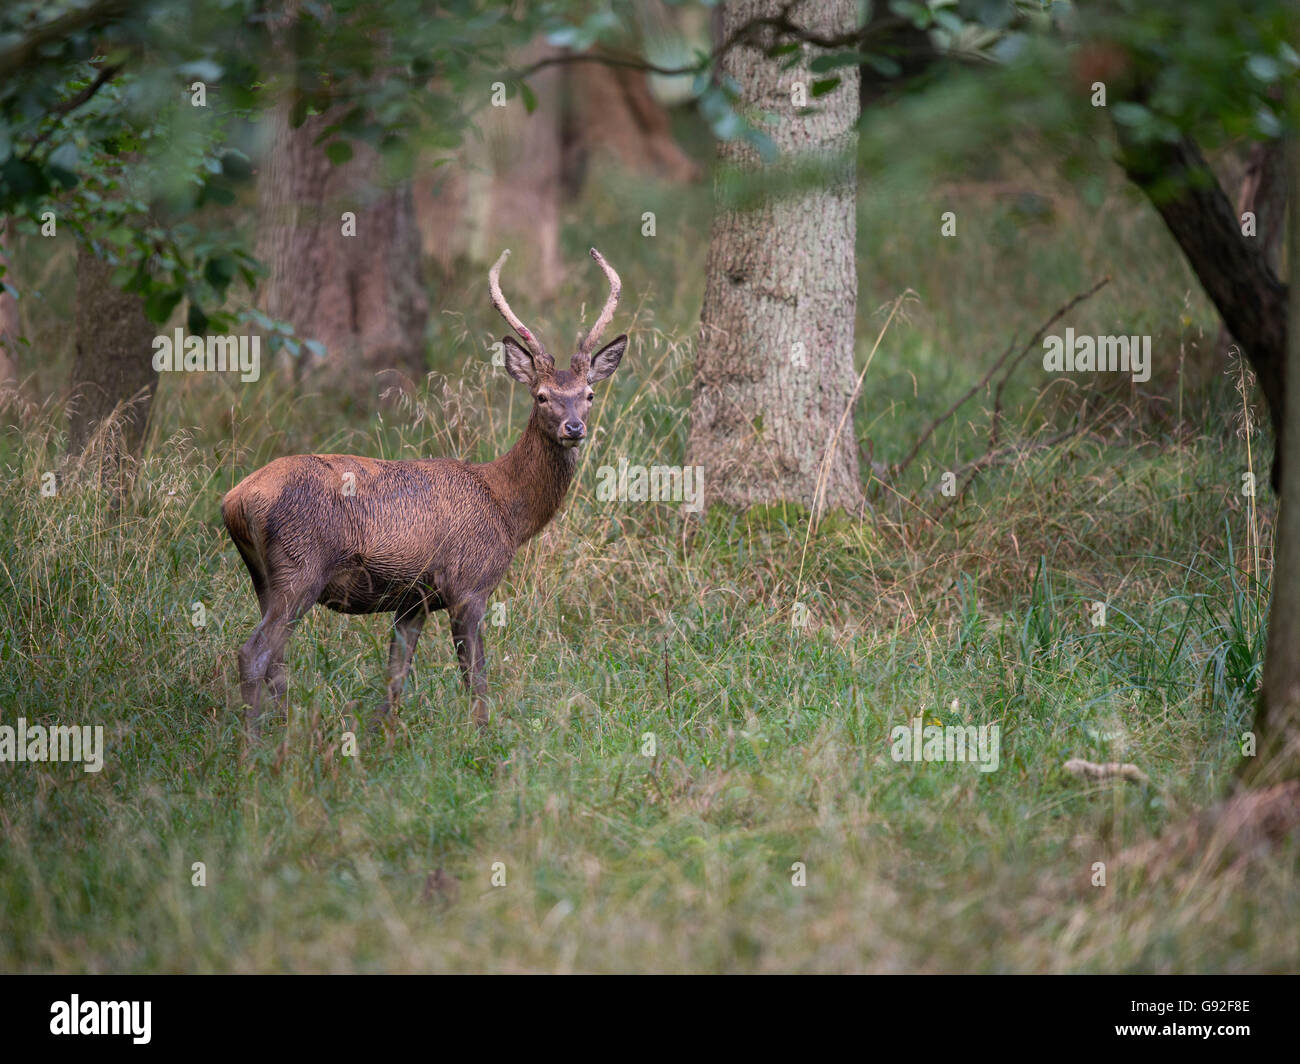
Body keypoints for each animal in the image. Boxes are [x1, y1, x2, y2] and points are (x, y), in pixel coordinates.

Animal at [221, 247, 627, 736]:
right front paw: (482, 738)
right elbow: (476, 678)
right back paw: (254, 746)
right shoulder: (469, 584)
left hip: (264, 577)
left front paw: (383, 737)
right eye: (542, 396)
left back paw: (285, 733)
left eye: (588, 393)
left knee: (277, 658)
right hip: (300, 567)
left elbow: (395, 679)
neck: (506, 508)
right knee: (253, 652)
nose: (574, 428)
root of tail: (237, 500)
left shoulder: (411, 601)